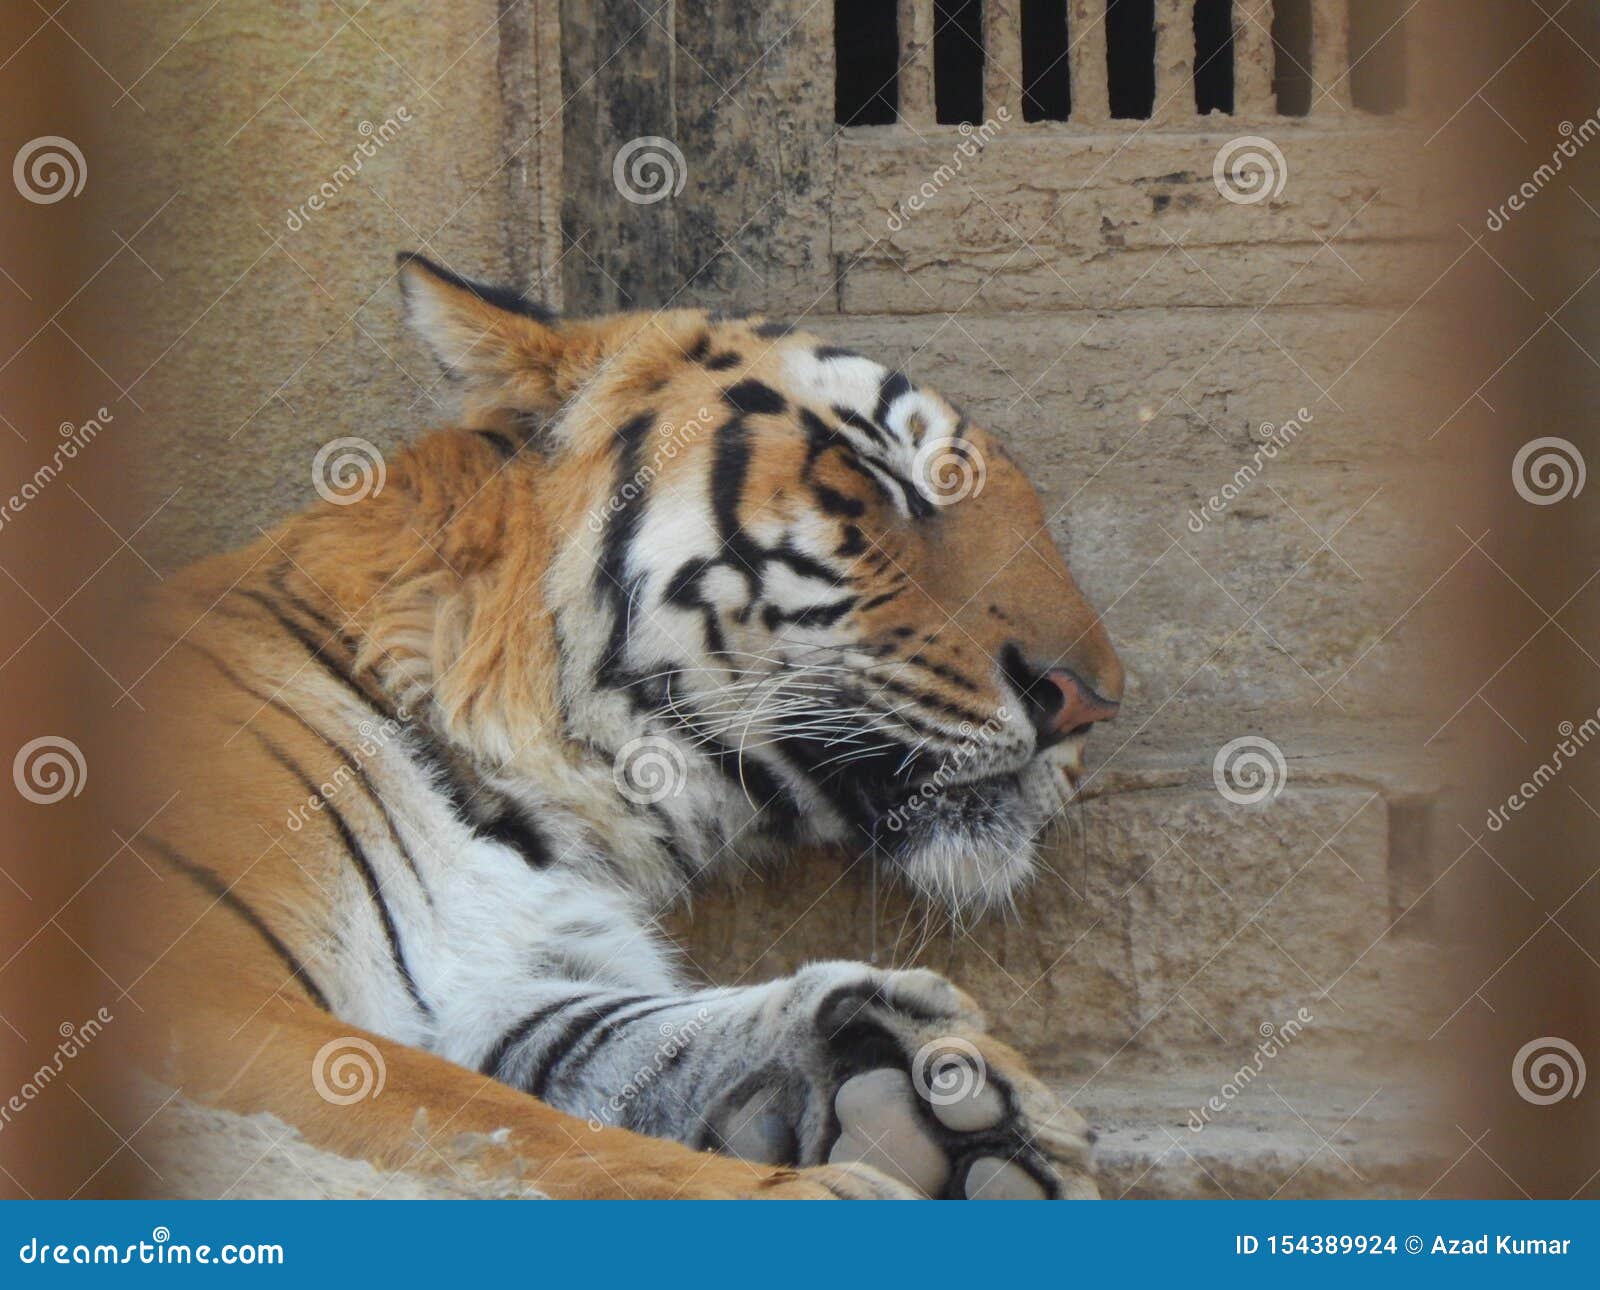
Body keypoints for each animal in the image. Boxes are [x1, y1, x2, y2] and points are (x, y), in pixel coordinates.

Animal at [113, 253, 1125, 1200]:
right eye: (872, 476)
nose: (1094, 699)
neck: (527, 805)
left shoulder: (507, 982)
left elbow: (614, 1044)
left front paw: (950, 1095)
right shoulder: (208, 1000)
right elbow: (518, 1131)